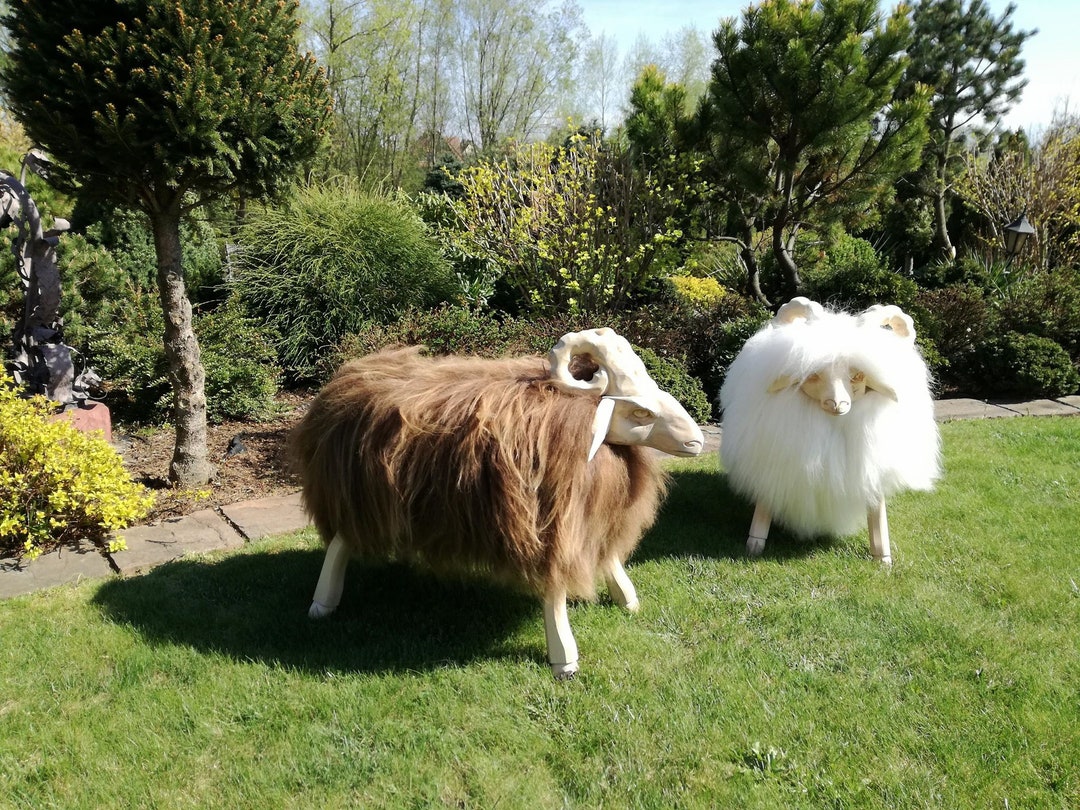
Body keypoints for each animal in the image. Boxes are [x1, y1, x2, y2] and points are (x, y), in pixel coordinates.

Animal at [291, 328, 705, 679]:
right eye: (639, 412)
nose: (696, 441)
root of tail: (349, 376)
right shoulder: (548, 529)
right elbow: (555, 591)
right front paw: (564, 658)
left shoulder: (593, 518)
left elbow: (609, 558)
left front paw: (626, 598)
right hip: (354, 497)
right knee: (339, 545)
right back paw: (322, 603)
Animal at [719, 297, 941, 564]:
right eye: (813, 375)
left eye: (858, 376)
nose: (838, 404)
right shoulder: (773, 461)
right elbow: (765, 502)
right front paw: (755, 544)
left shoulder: (871, 468)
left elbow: (877, 515)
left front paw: (883, 557)